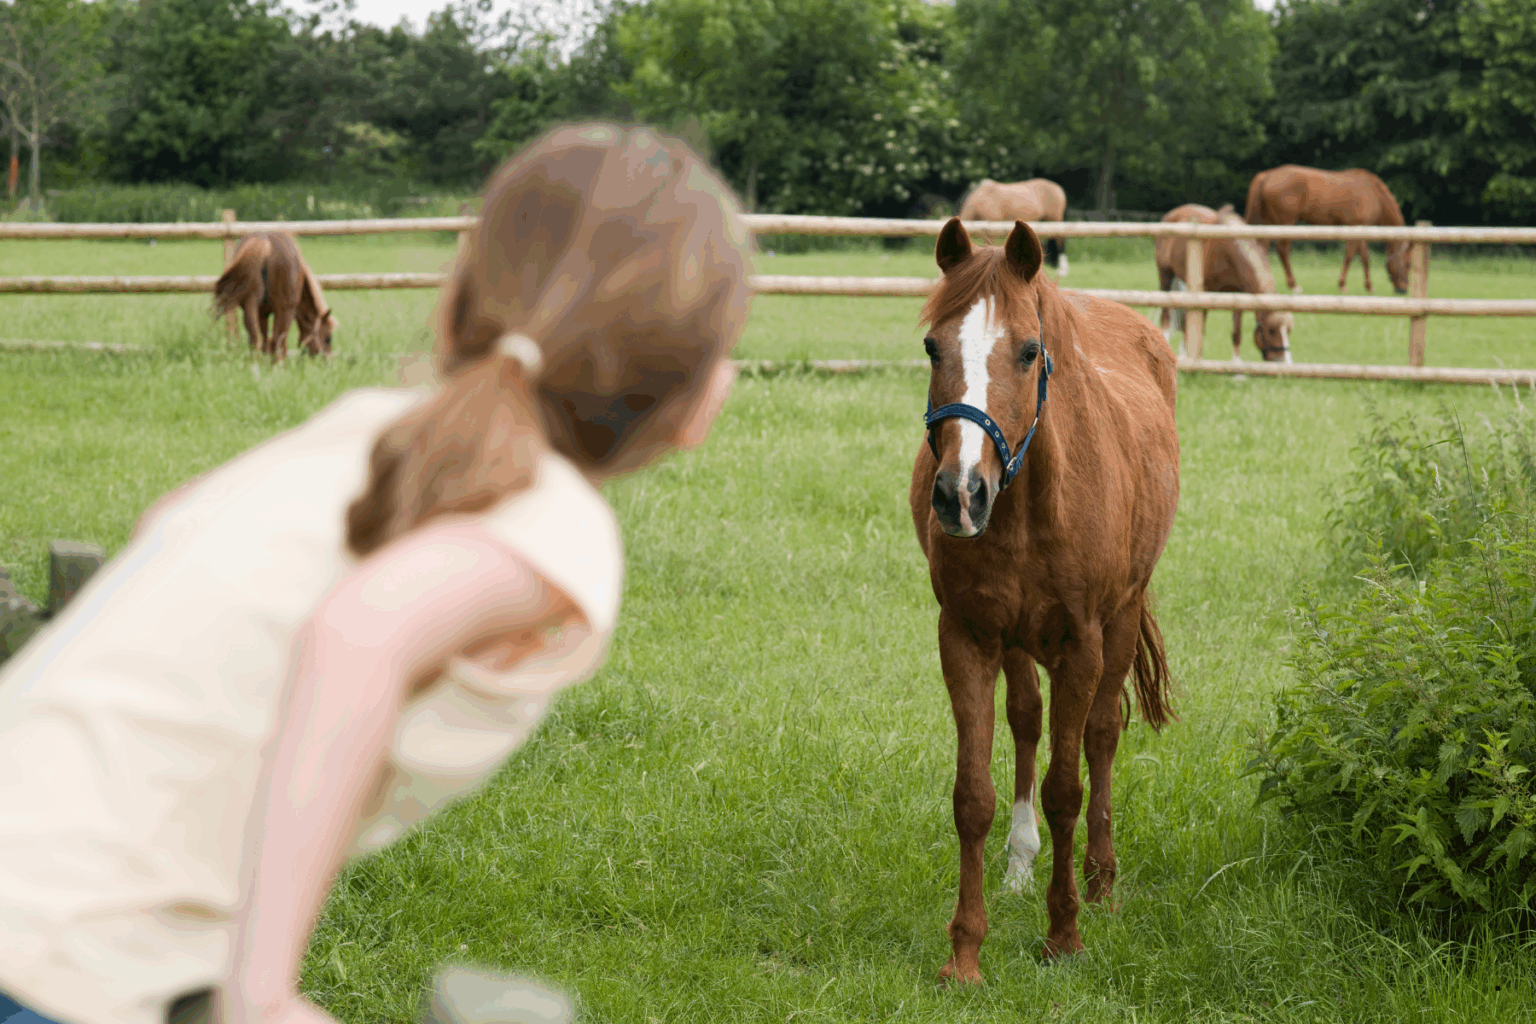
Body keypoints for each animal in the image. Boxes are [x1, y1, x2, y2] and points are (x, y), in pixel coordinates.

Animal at [213, 232, 339, 361]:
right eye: (328, 338)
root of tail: (265, 242)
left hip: (250, 307)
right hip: (284, 311)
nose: (328, 361)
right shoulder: (287, 311)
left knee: (256, 340)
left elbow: (265, 342)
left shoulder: (262, 313)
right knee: (276, 341)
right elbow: (279, 344)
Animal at [911, 217, 1179, 983]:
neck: (1031, 507)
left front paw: (1065, 935)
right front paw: (965, 952)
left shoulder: (1081, 643)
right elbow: (973, 795)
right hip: (1016, 640)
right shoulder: (968, 636)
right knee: (1028, 721)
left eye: (1029, 351)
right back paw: (1021, 865)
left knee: (1100, 737)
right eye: (932, 346)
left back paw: (1101, 882)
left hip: (1120, 619)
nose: (960, 494)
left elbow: (1067, 787)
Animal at [1155, 204, 1294, 363]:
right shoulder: (1204, 291)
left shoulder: (1238, 295)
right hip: (1166, 277)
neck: (1226, 251)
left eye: (1289, 330)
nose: (1286, 363)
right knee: (1166, 317)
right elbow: (1199, 330)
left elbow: (1236, 333)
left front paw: (1236, 365)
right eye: (1271, 331)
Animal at [1244, 165, 1409, 296]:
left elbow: (1364, 258)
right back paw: (1294, 285)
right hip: (1285, 223)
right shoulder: (1356, 226)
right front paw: (1342, 285)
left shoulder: (1360, 229)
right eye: (1407, 265)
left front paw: (1369, 287)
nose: (1403, 290)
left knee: (1262, 248)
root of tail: (1266, 176)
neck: (1373, 191)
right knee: (1282, 250)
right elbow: (1350, 255)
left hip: (1267, 224)